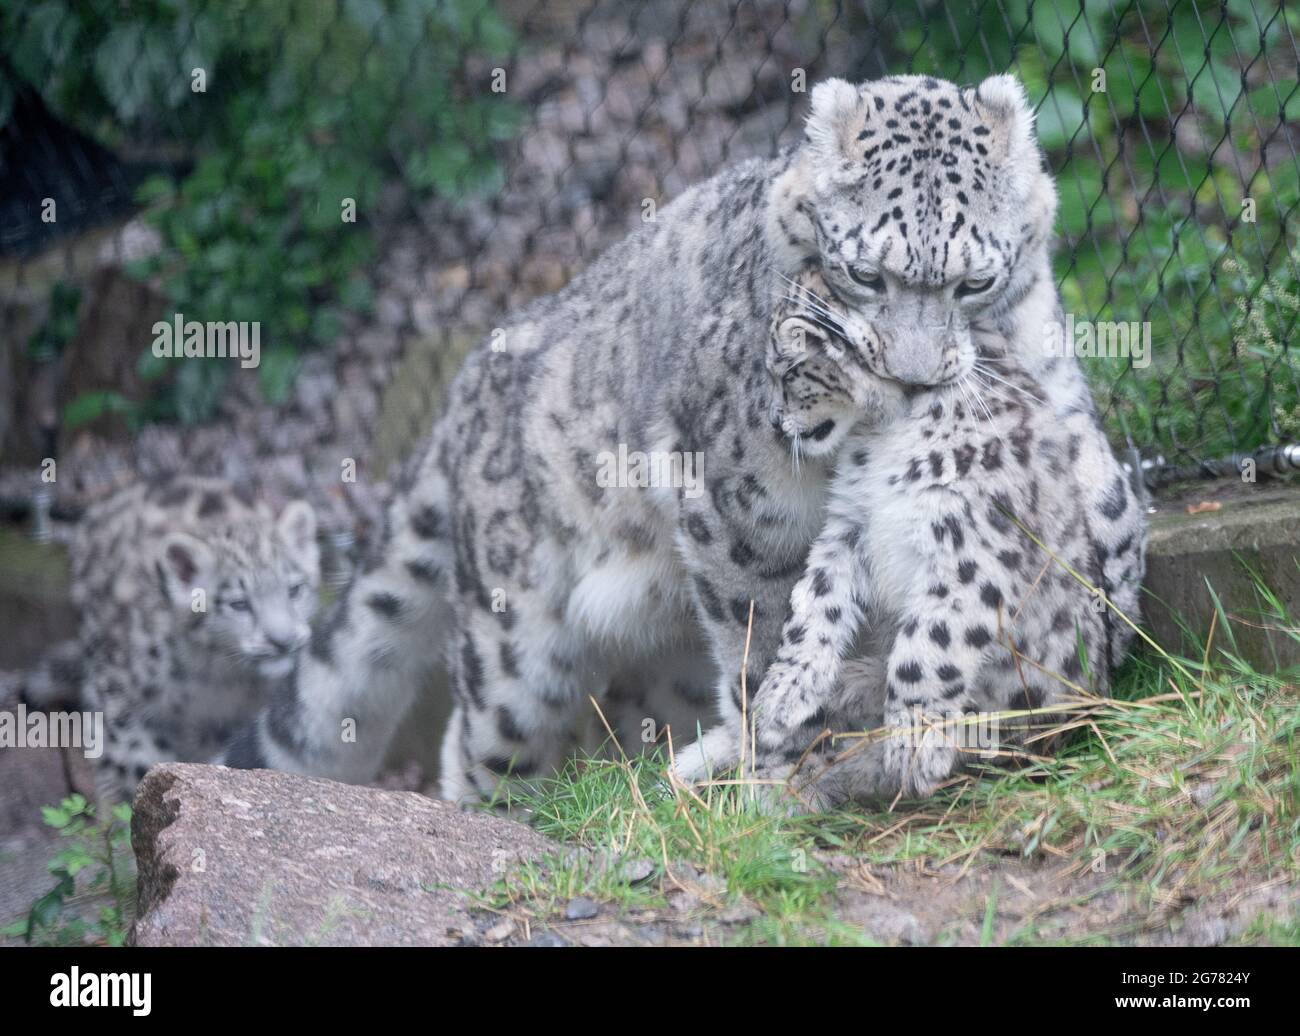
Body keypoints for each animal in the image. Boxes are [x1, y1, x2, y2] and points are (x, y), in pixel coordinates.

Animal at [21, 476, 320, 801]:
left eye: (294, 589)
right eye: (238, 603)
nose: (283, 640)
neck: (222, 680)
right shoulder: (121, 698)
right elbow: (129, 764)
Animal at [215, 73, 1086, 805]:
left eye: (975, 281)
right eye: (868, 275)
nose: (914, 380)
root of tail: (463, 389)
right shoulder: (742, 511)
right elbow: (766, 636)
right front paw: (784, 763)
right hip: (517, 644)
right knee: (481, 738)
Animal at [674, 264, 1147, 806]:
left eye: (790, 372)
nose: (775, 420)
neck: (885, 430)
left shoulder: (972, 542)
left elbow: (928, 644)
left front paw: (916, 746)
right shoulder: (850, 525)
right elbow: (814, 601)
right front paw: (784, 692)